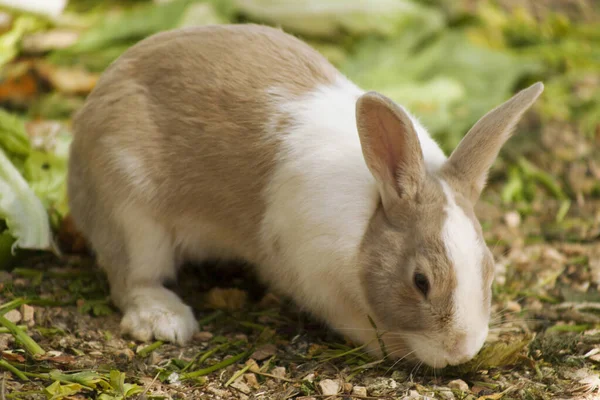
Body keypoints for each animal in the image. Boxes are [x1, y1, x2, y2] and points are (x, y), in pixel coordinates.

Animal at [69, 24, 544, 368]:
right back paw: (166, 321)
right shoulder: (314, 278)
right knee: (133, 279)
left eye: (489, 269)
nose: (460, 351)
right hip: (132, 216)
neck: (371, 216)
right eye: (420, 281)